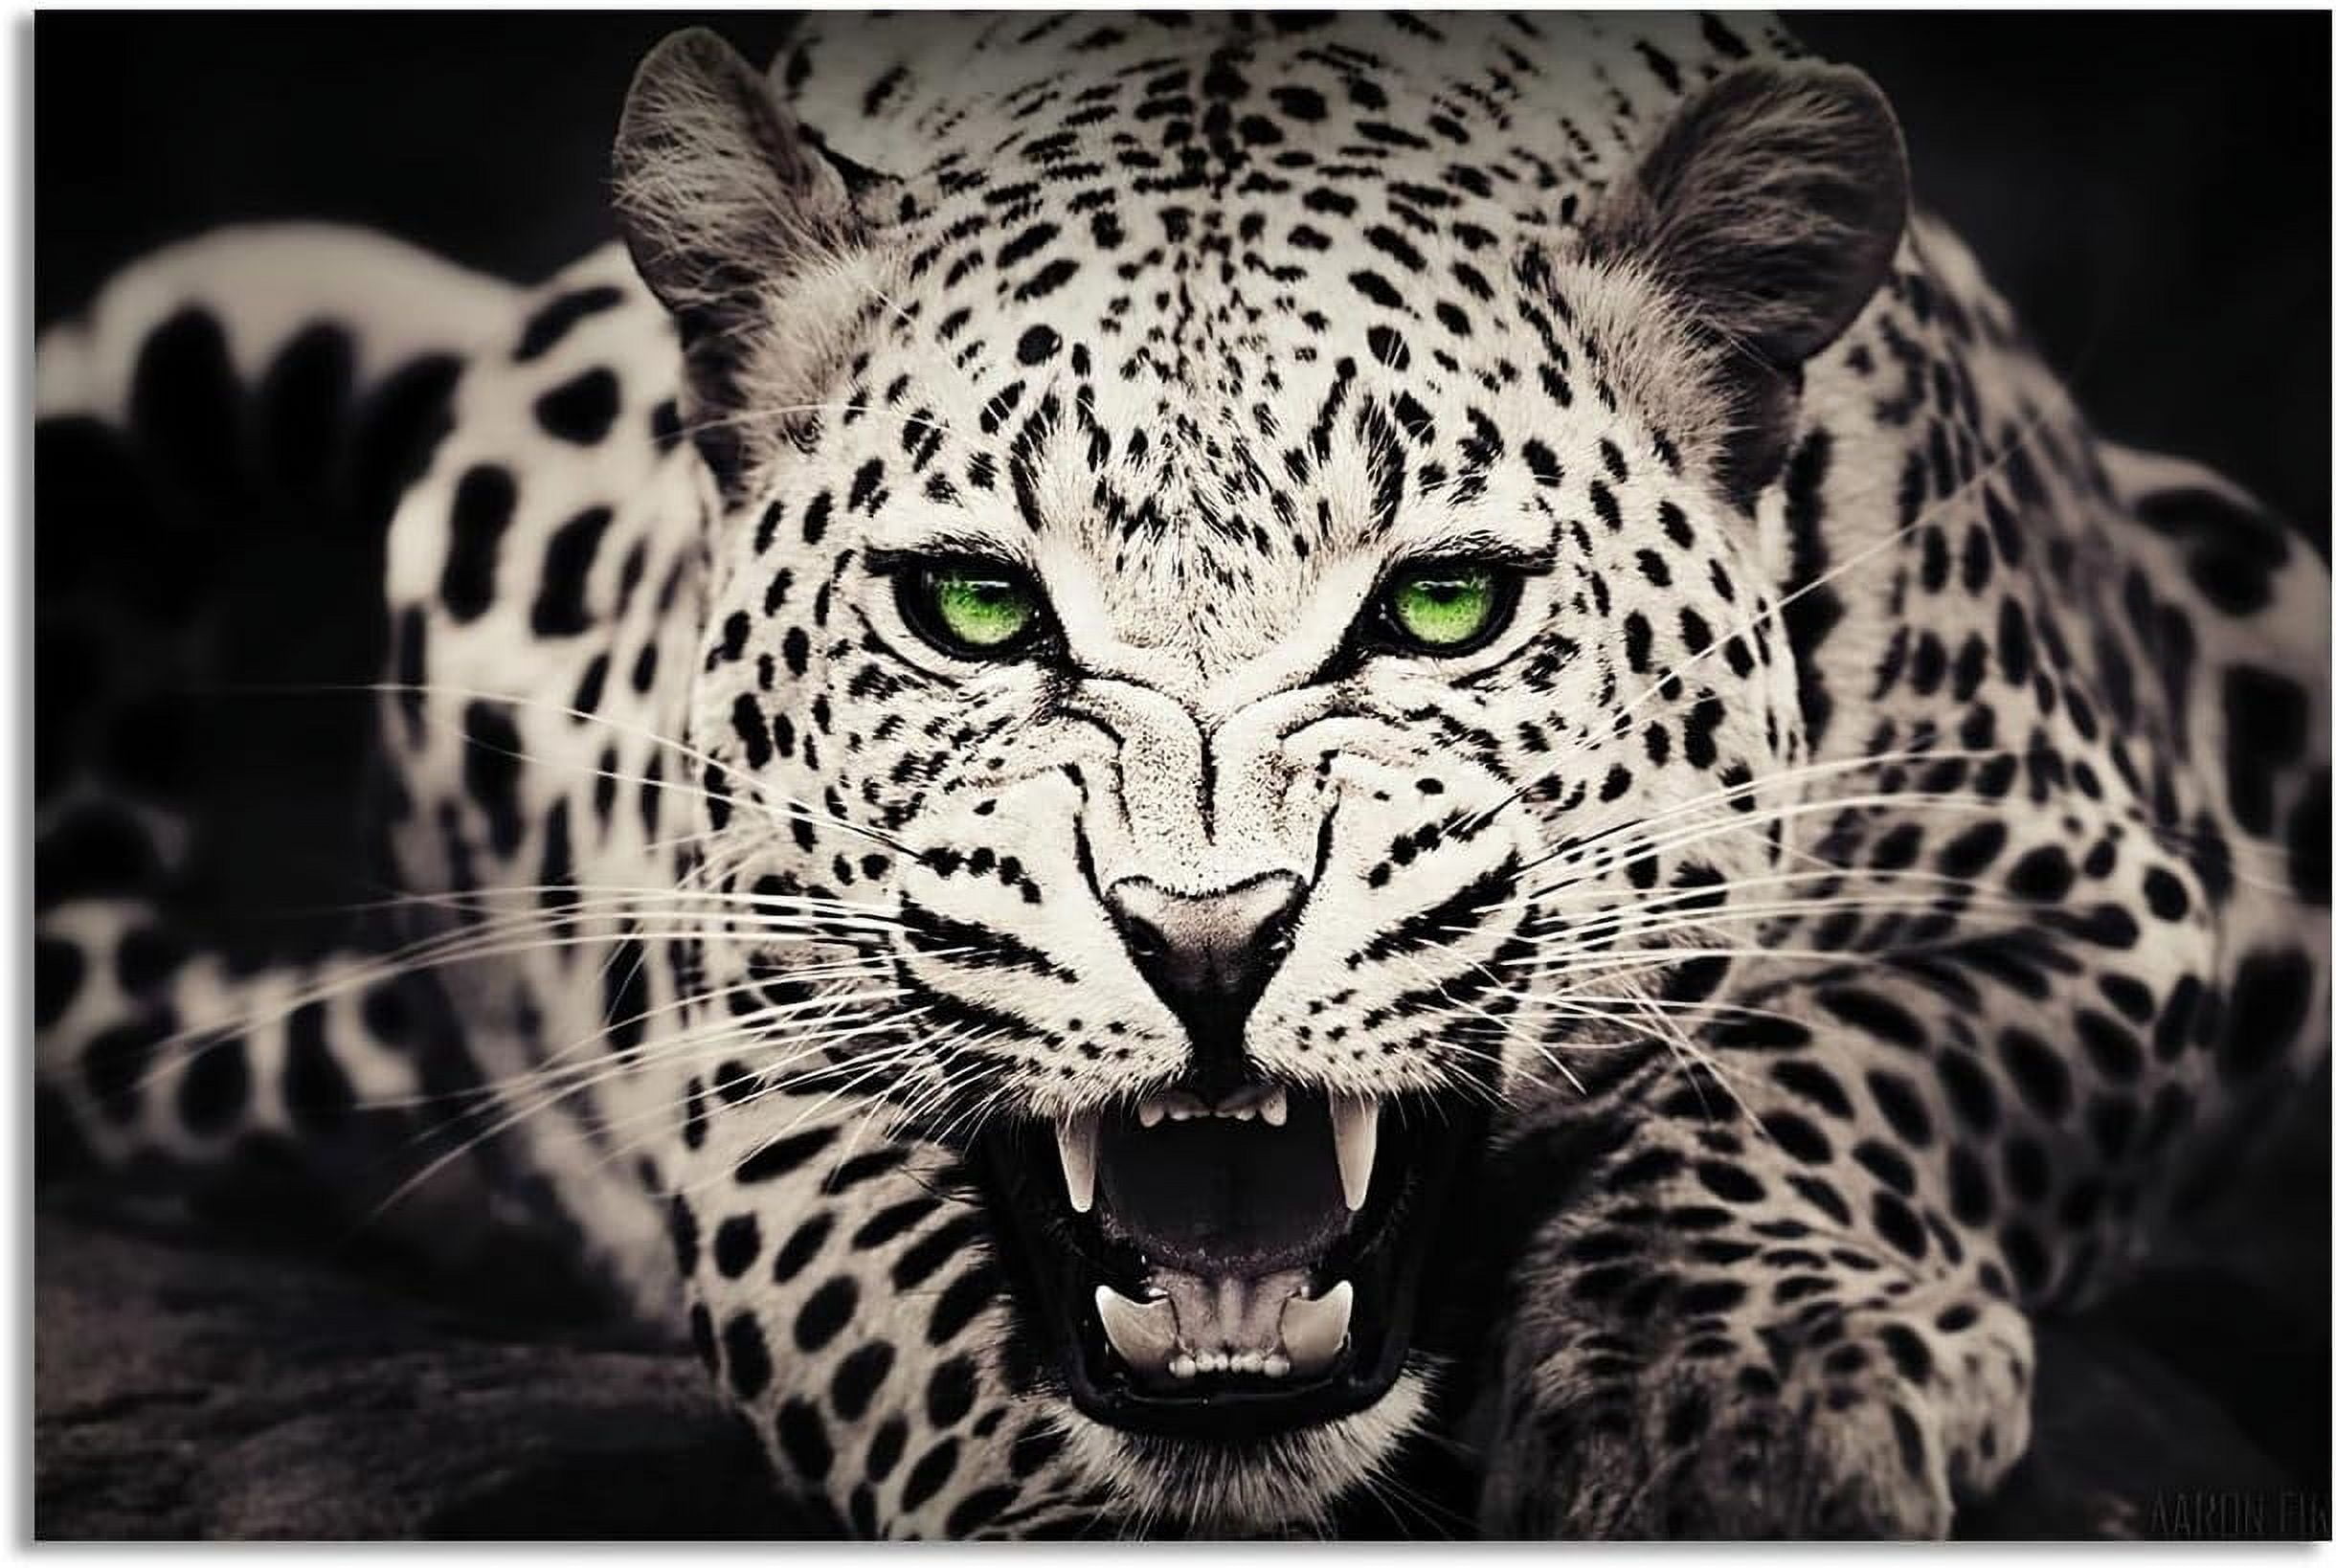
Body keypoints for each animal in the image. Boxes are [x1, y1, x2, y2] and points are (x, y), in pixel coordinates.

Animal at [33, 11, 2330, 1540]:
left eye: (1440, 606)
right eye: (972, 605)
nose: (1205, 940)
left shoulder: (2091, 894)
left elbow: (1827, 1066)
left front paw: (1726, 1412)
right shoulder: (745, 1042)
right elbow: (896, 1306)